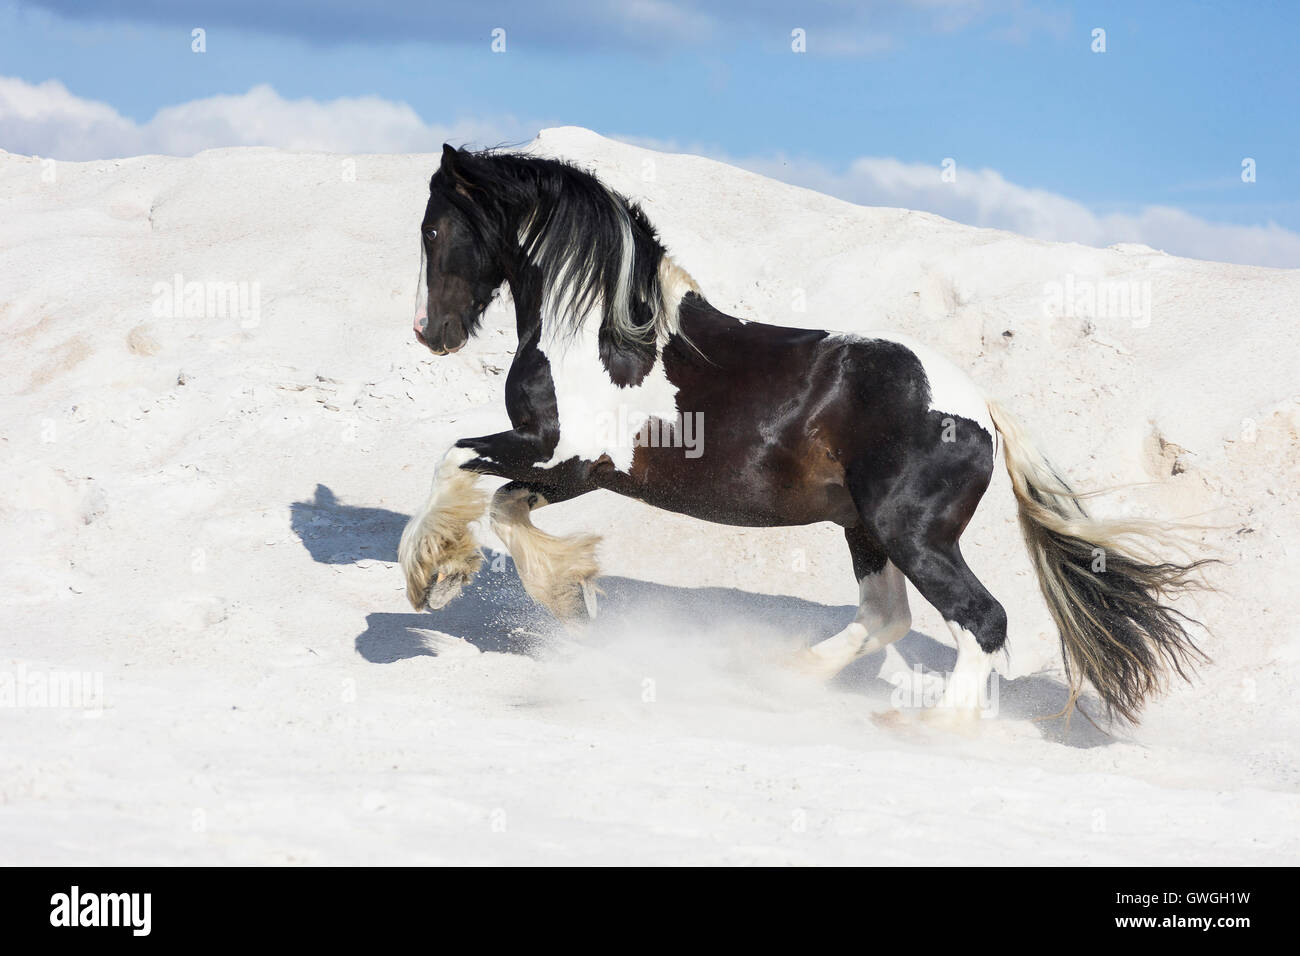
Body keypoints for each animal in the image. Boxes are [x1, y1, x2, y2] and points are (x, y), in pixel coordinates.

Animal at [399, 143, 1209, 725]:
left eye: (434, 228)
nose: (430, 333)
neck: (605, 337)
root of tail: (979, 410)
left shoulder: (559, 453)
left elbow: (452, 462)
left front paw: (428, 577)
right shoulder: (575, 471)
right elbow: (505, 507)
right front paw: (563, 597)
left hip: (910, 533)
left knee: (981, 620)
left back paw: (932, 728)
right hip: (865, 529)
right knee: (887, 616)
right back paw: (780, 676)